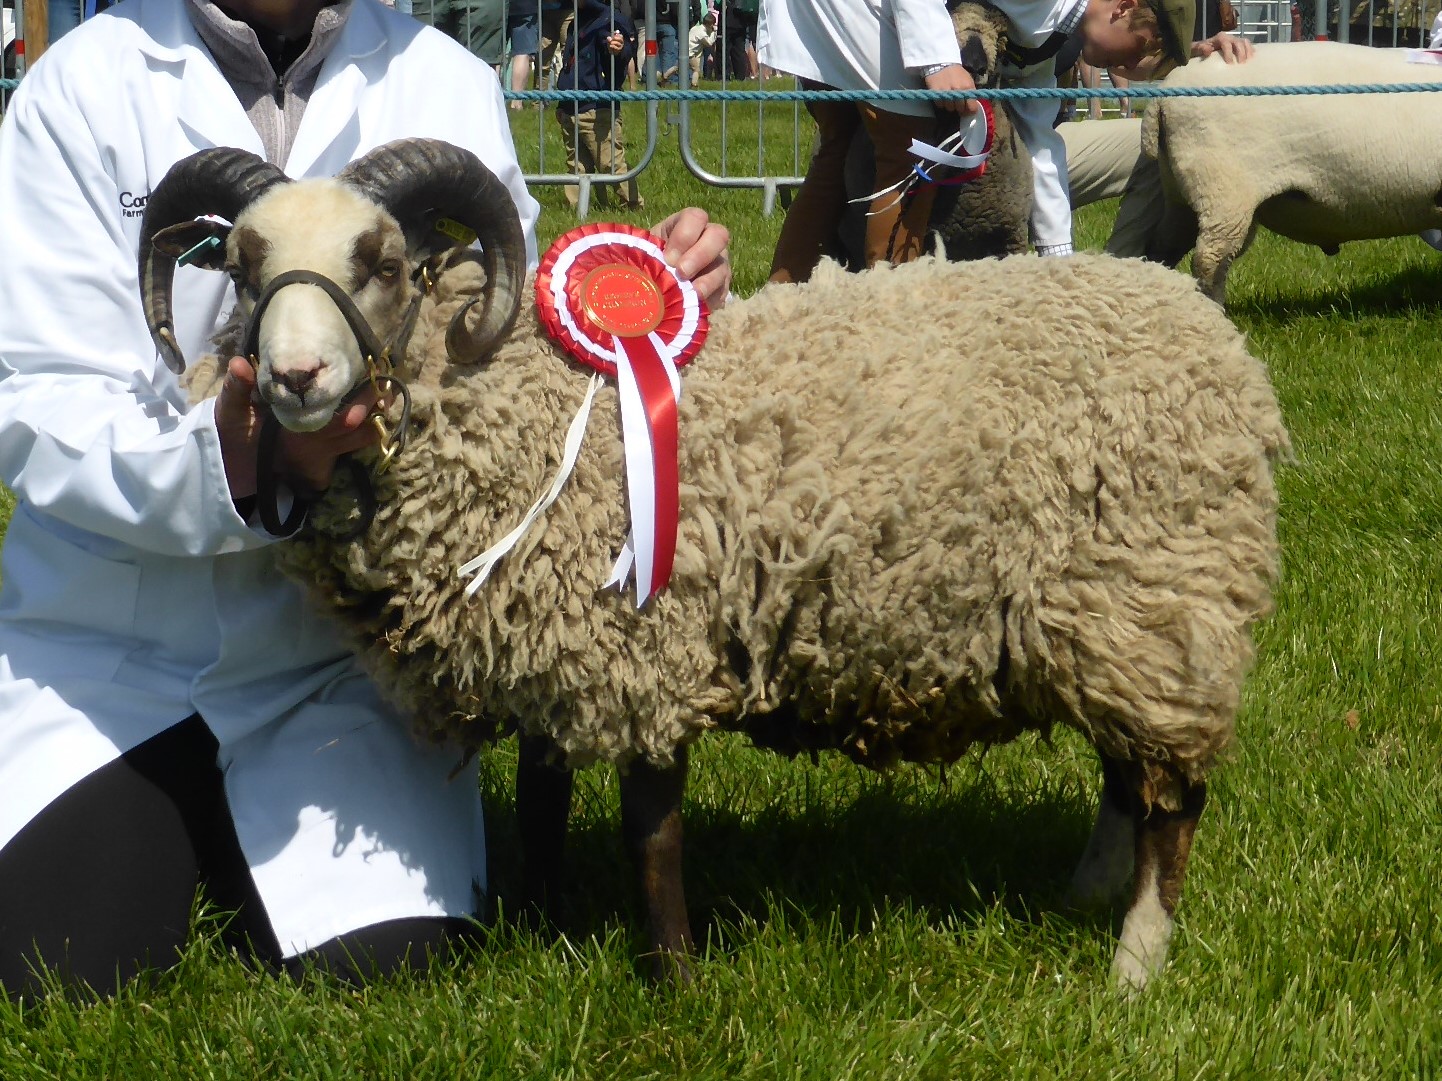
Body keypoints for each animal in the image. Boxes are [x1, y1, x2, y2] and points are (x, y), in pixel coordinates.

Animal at [139, 138, 1288, 992]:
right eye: (241, 267)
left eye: (380, 262)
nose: (293, 377)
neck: (513, 401)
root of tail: (1207, 332)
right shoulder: (554, 636)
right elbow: (543, 793)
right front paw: (540, 923)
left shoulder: (646, 633)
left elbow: (650, 825)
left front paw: (676, 978)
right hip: (1100, 613)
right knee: (1124, 769)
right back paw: (1084, 894)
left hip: (1158, 589)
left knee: (1173, 797)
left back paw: (1134, 964)